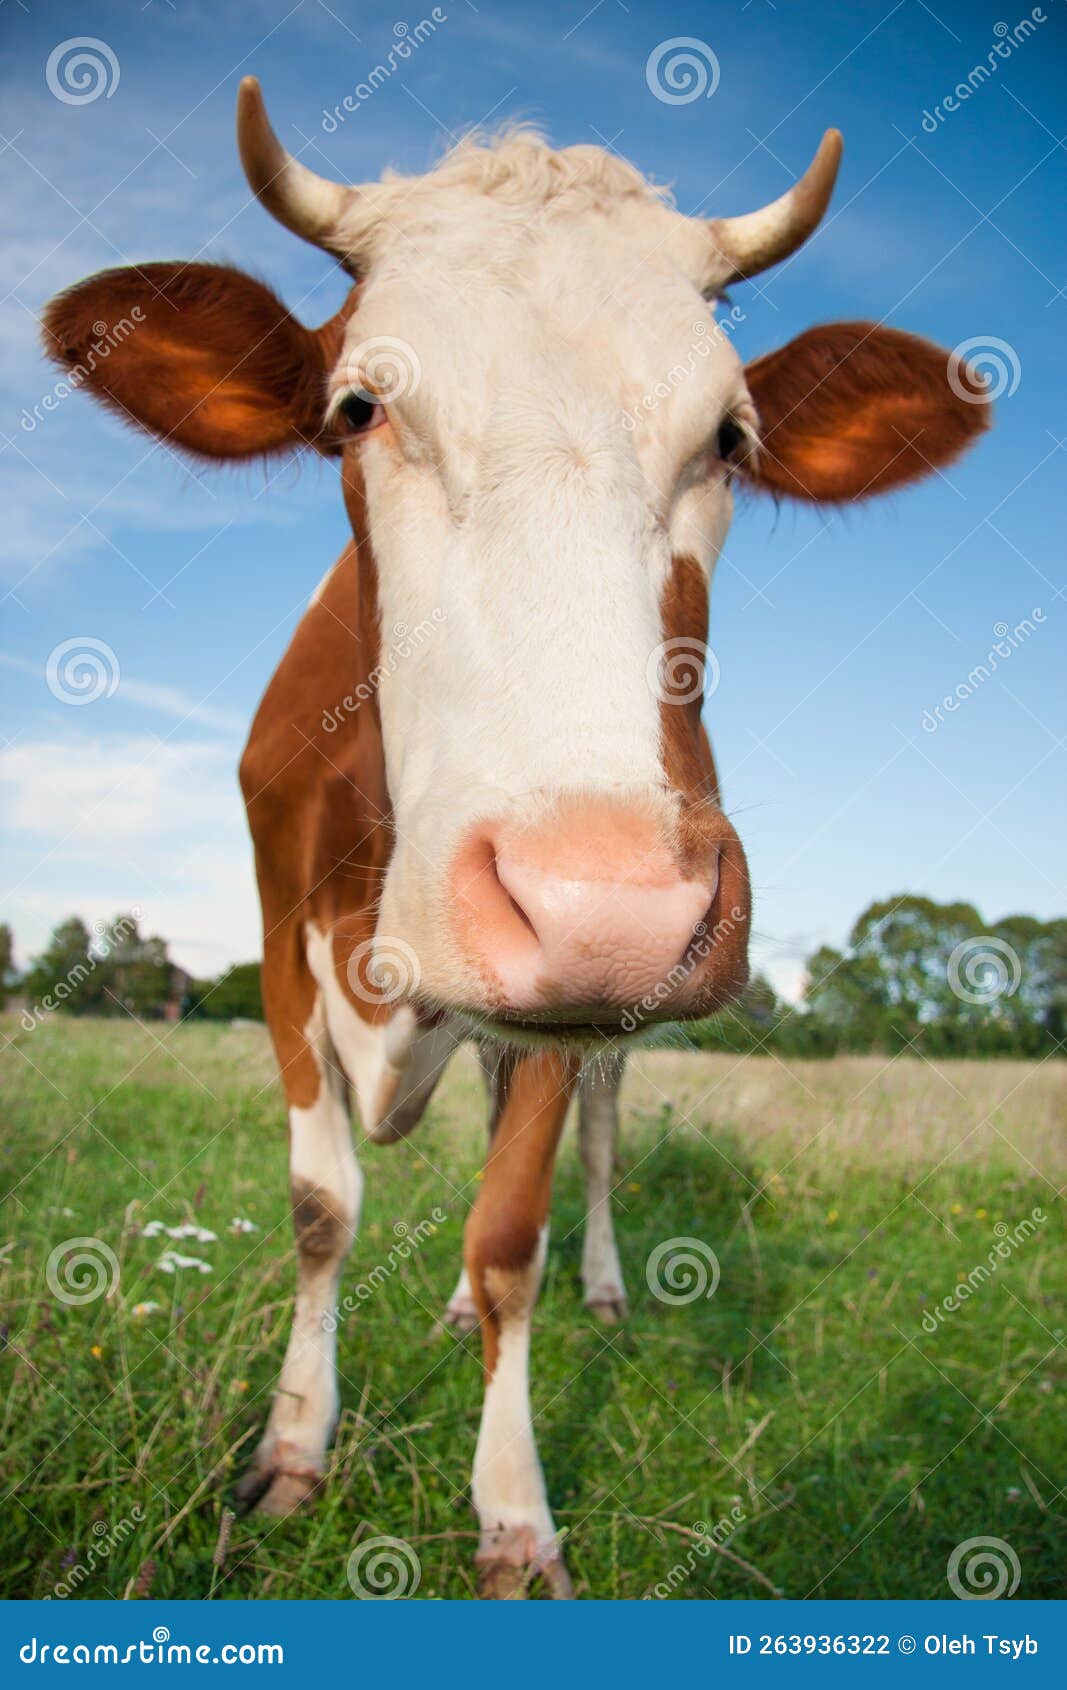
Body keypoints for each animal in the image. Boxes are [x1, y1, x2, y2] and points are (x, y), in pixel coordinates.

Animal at [43, 79, 989, 1598]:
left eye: (728, 437)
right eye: (357, 405)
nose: (603, 904)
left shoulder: (572, 1007)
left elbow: (509, 1234)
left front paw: (512, 1517)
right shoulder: (274, 935)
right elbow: (320, 1205)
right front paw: (291, 1447)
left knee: (584, 1154)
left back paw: (599, 1283)